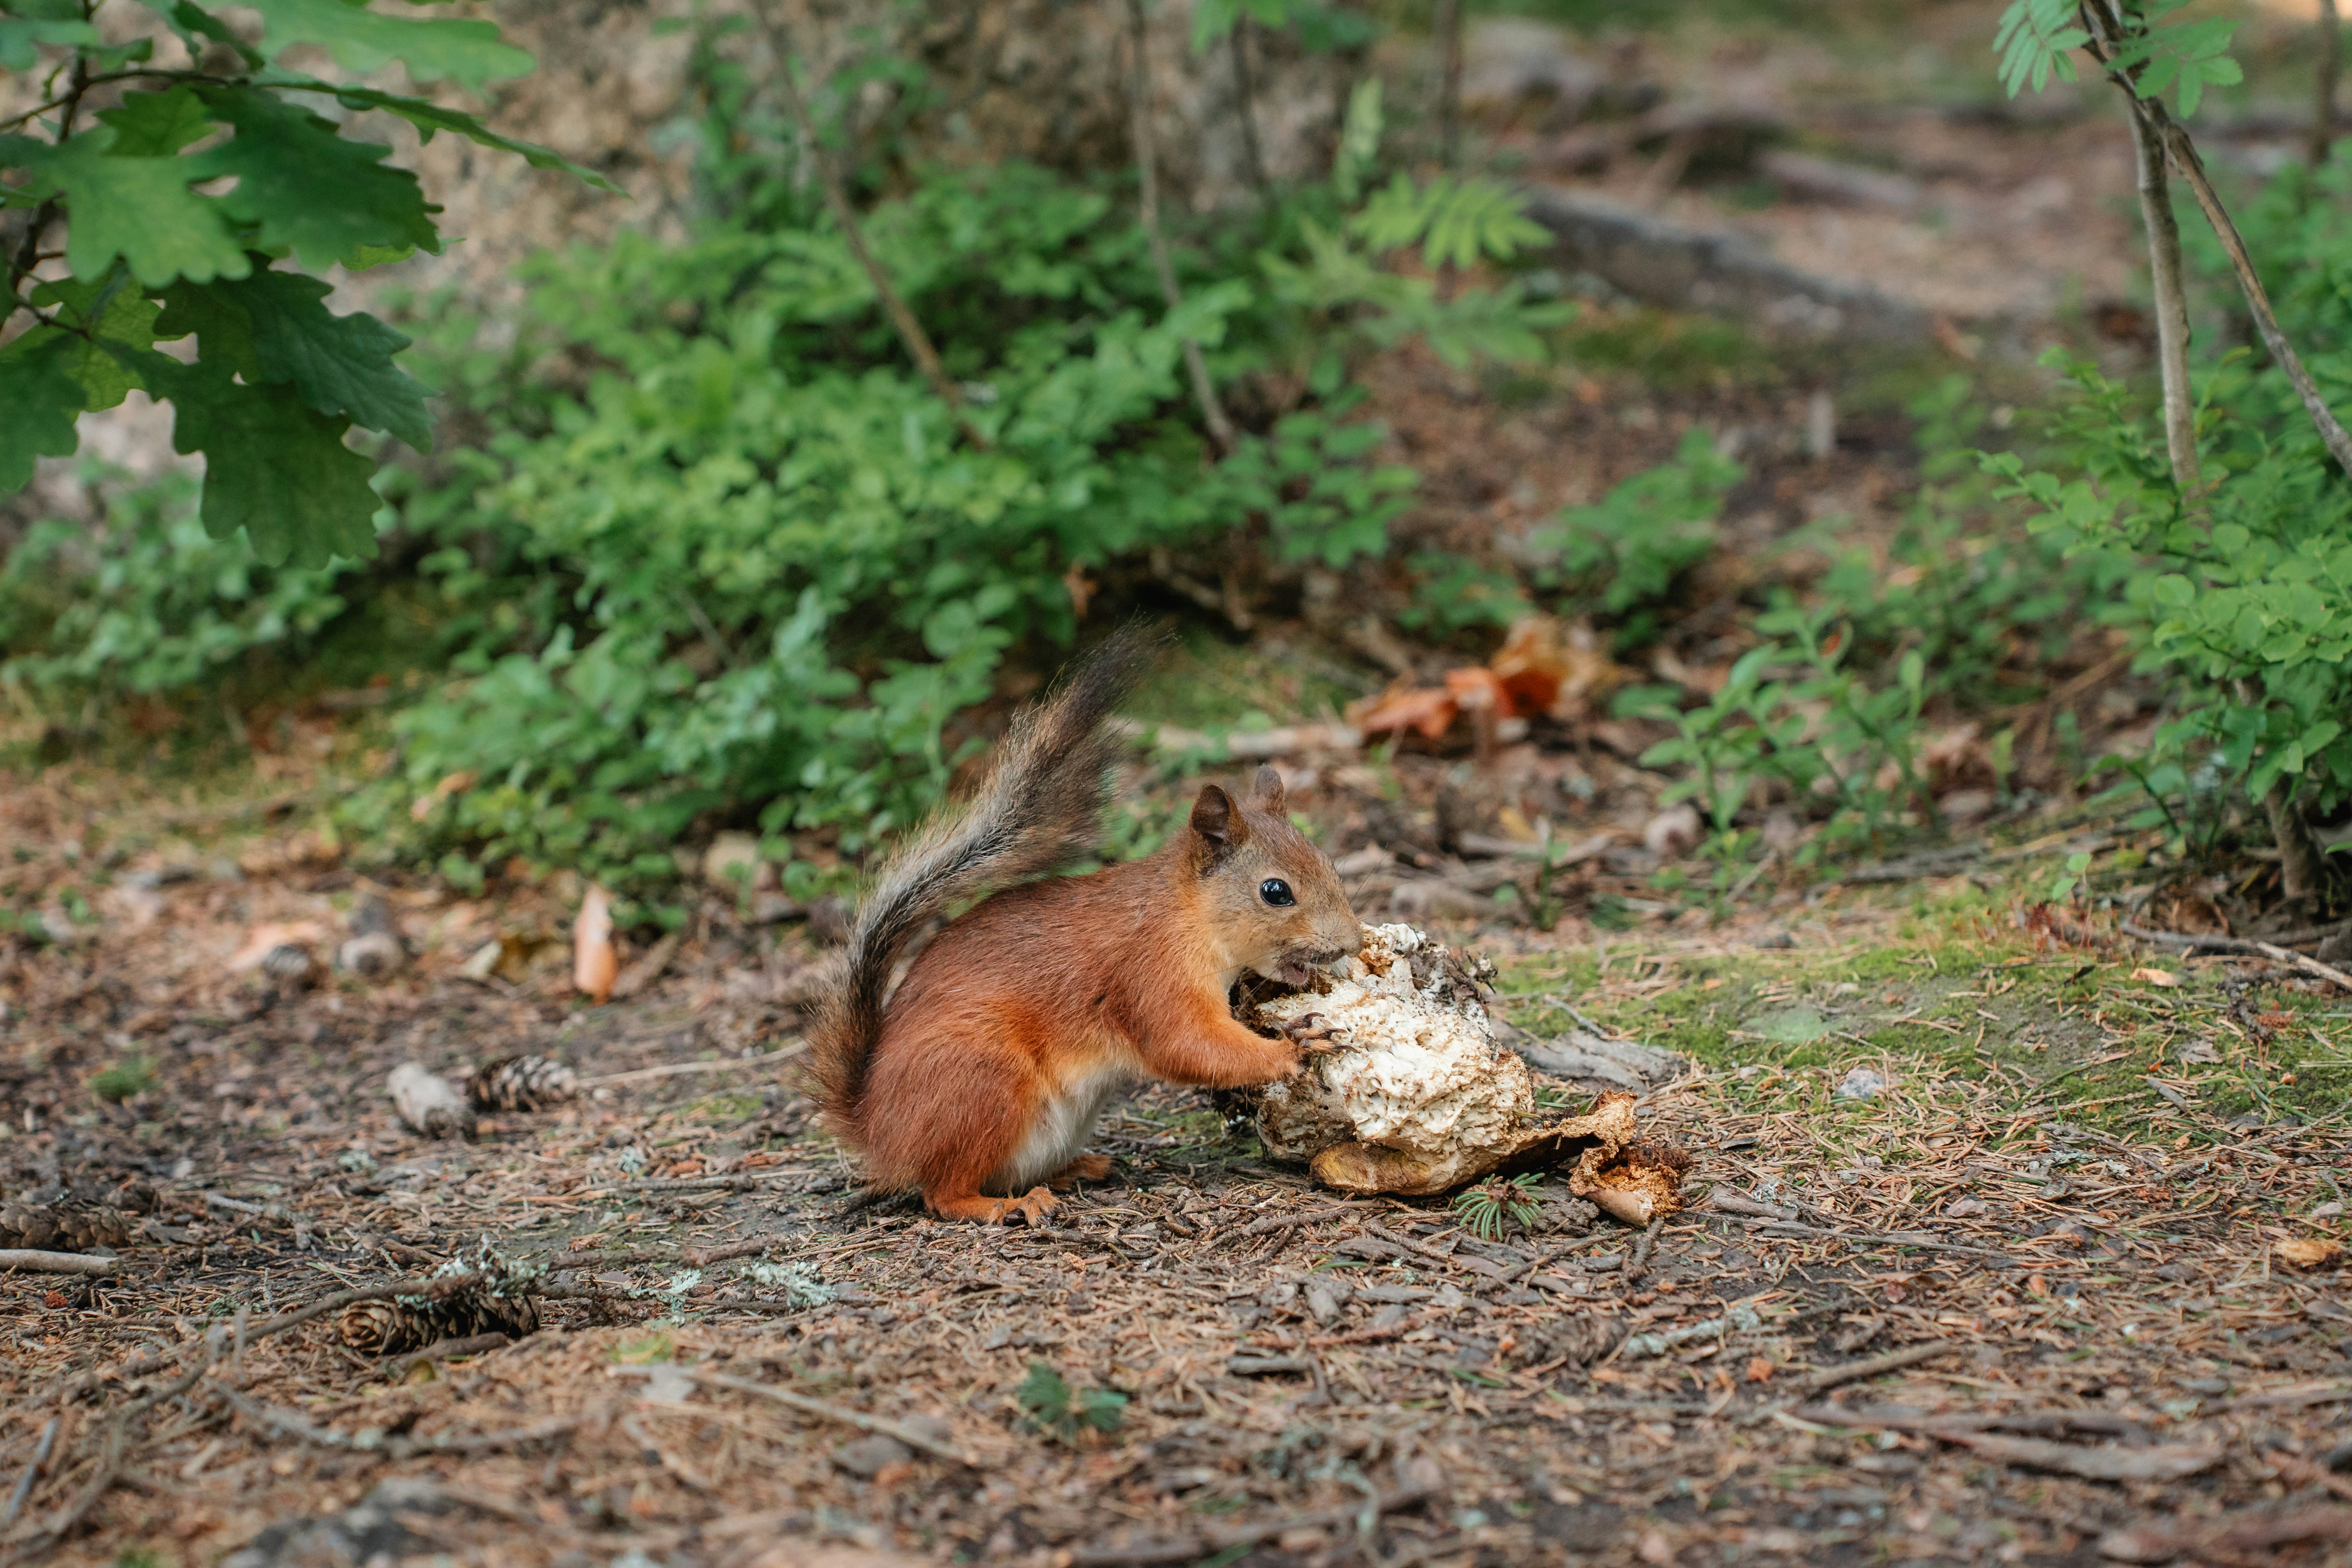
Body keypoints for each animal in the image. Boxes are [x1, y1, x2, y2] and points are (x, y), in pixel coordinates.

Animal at [807, 629, 1361, 1224]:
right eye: (1274, 892)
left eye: (1327, 862)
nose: (1352, 943)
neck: (1187, 916)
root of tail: (874, 1127)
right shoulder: (1150, 974)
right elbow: (1189, 1046)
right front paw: (1292, 1049)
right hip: (981, 1079)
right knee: (943, 1192)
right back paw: (1008, 1206)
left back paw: (1080, 1169)